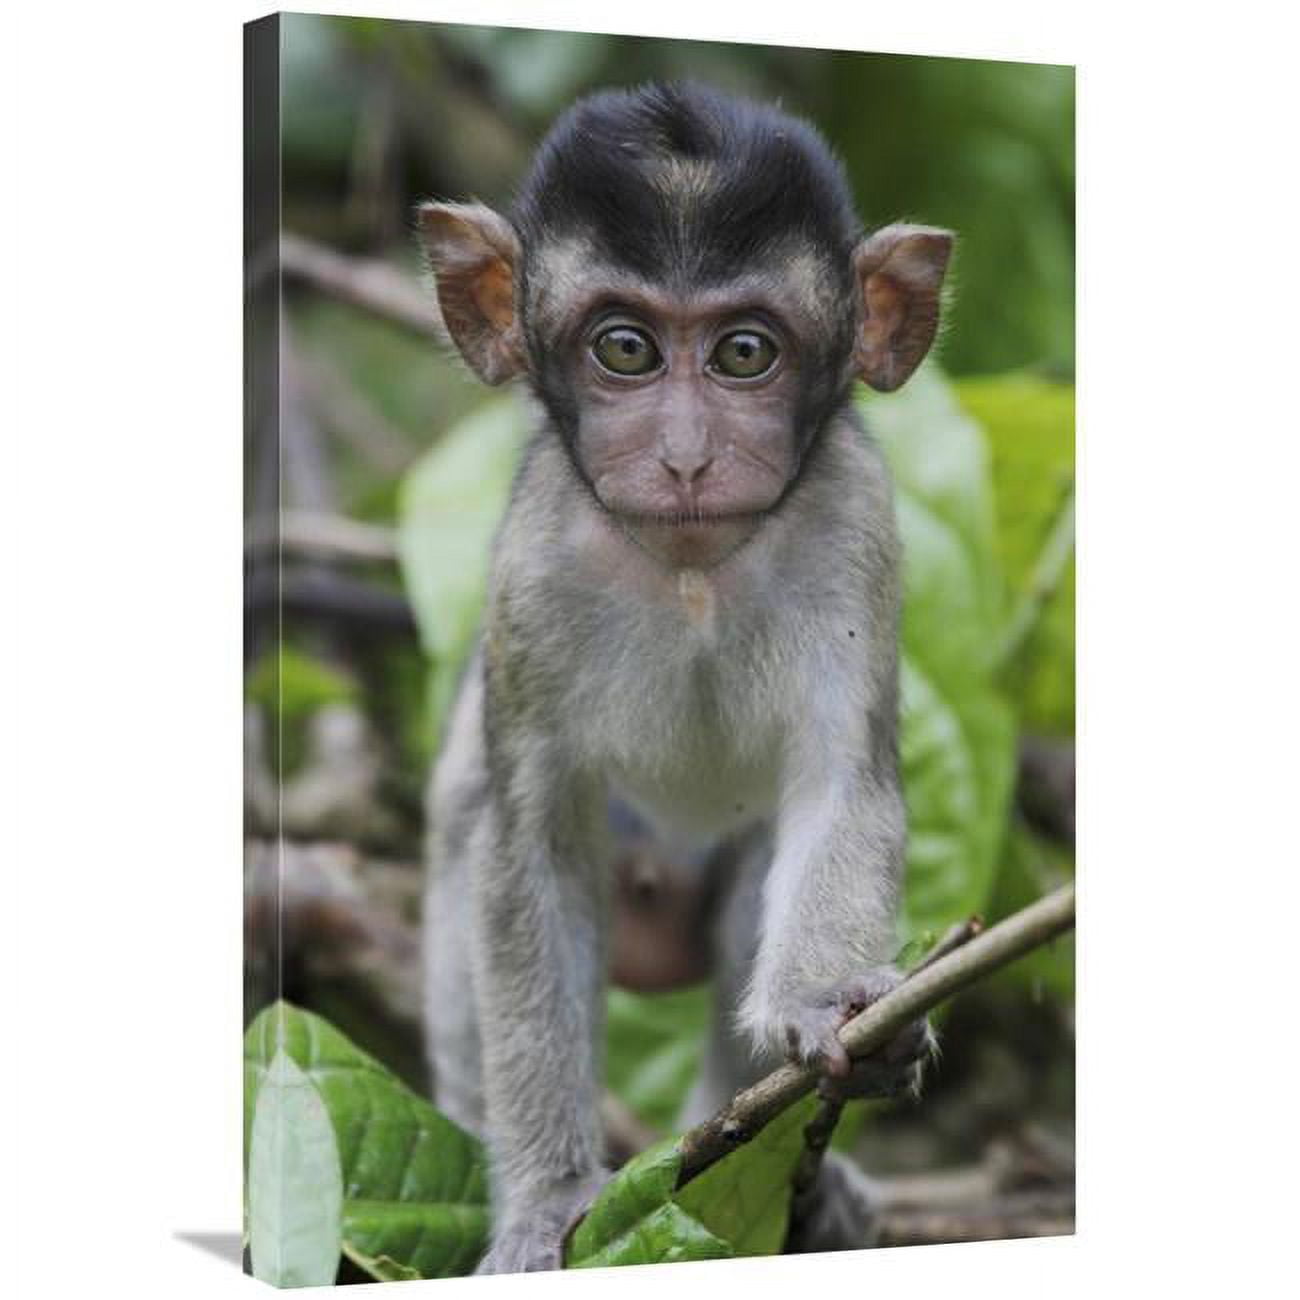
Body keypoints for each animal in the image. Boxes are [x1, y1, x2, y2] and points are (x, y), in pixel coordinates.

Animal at [416, 82, 952, 1273]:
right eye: (624, 348)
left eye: (744, 353)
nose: (687, 456)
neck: (693, 572)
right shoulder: (533, 560)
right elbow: (527, 843)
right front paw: (543, 1202)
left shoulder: (854, 522)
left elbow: (840, 788)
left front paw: (828, 1008)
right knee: (472, 829)